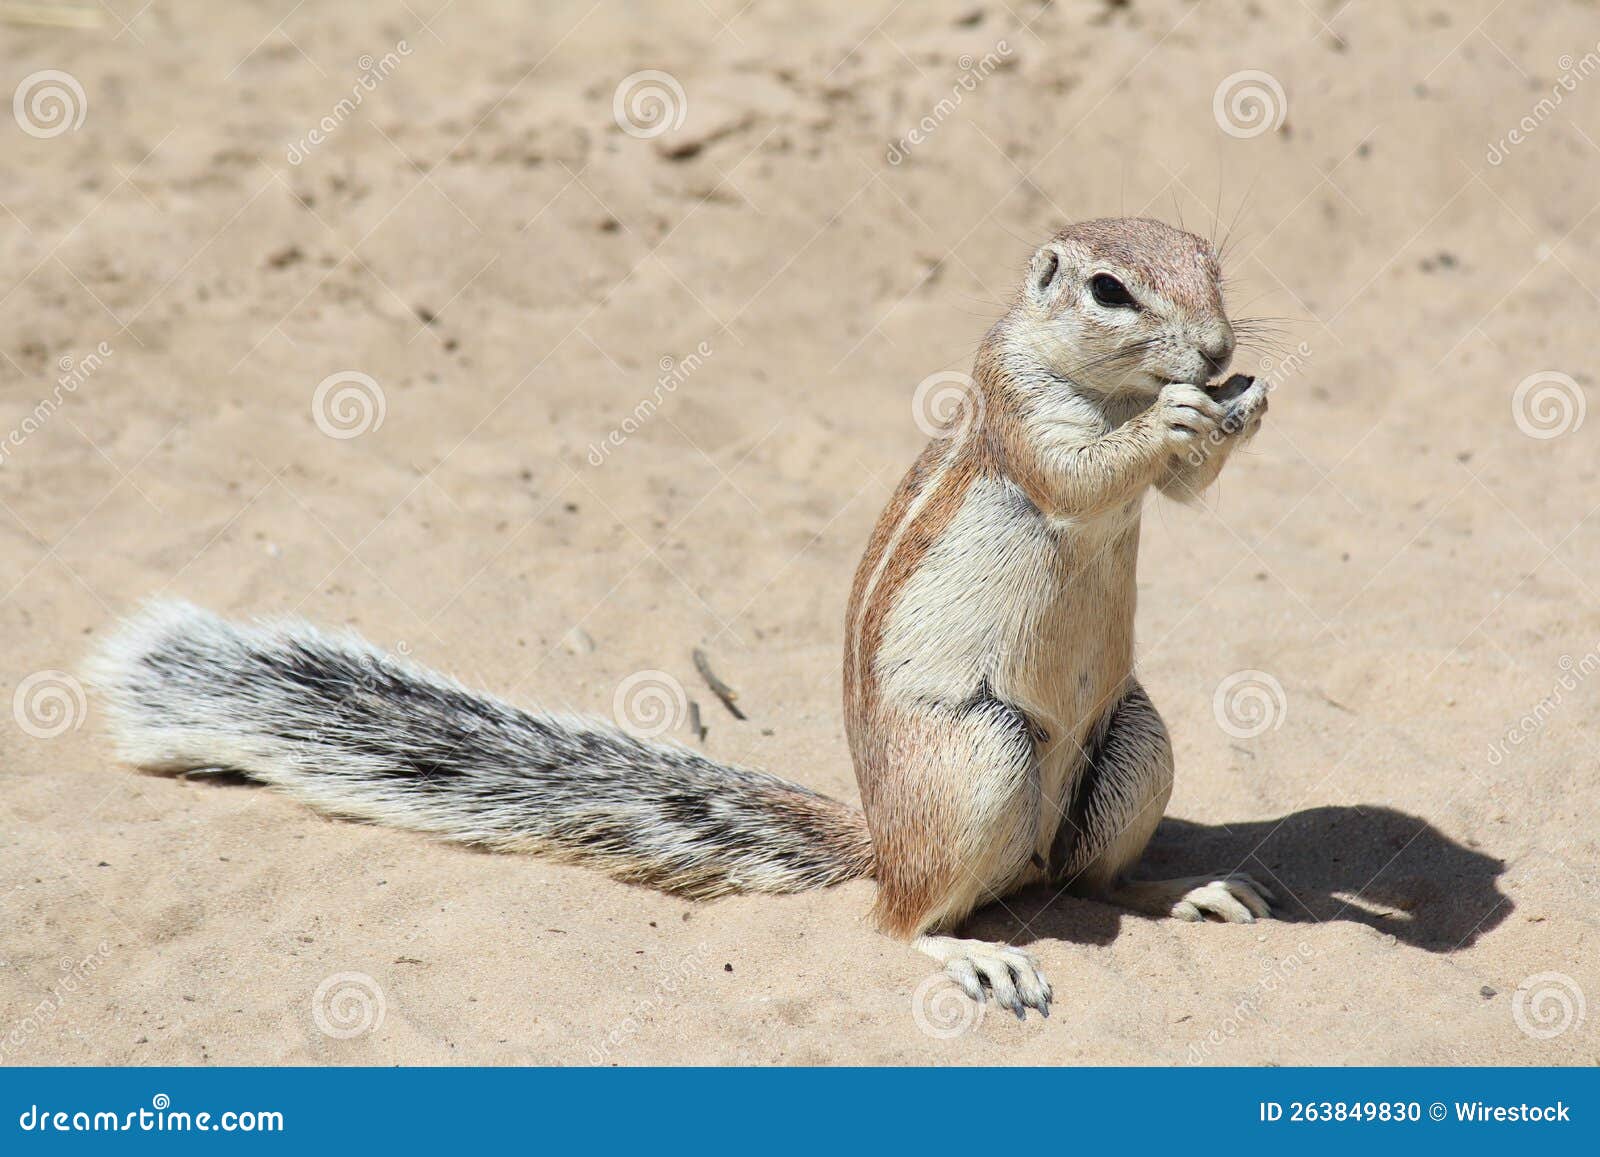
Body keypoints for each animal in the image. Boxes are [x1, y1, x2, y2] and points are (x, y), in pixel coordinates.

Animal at [90, 217, 1272, 1022]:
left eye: (1210, 259)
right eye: (1110, 290)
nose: (1218, 352)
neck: (1106, 386)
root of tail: (882, 837)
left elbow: (1180, 492)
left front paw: (1240, 406)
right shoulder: (1020, 418)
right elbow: (1079, 472)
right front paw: (1178, 416)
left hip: (1132, 744)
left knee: (1083, 879)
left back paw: (1186, 887)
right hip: (975, 758)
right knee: (900, 920)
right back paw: (966, 951)